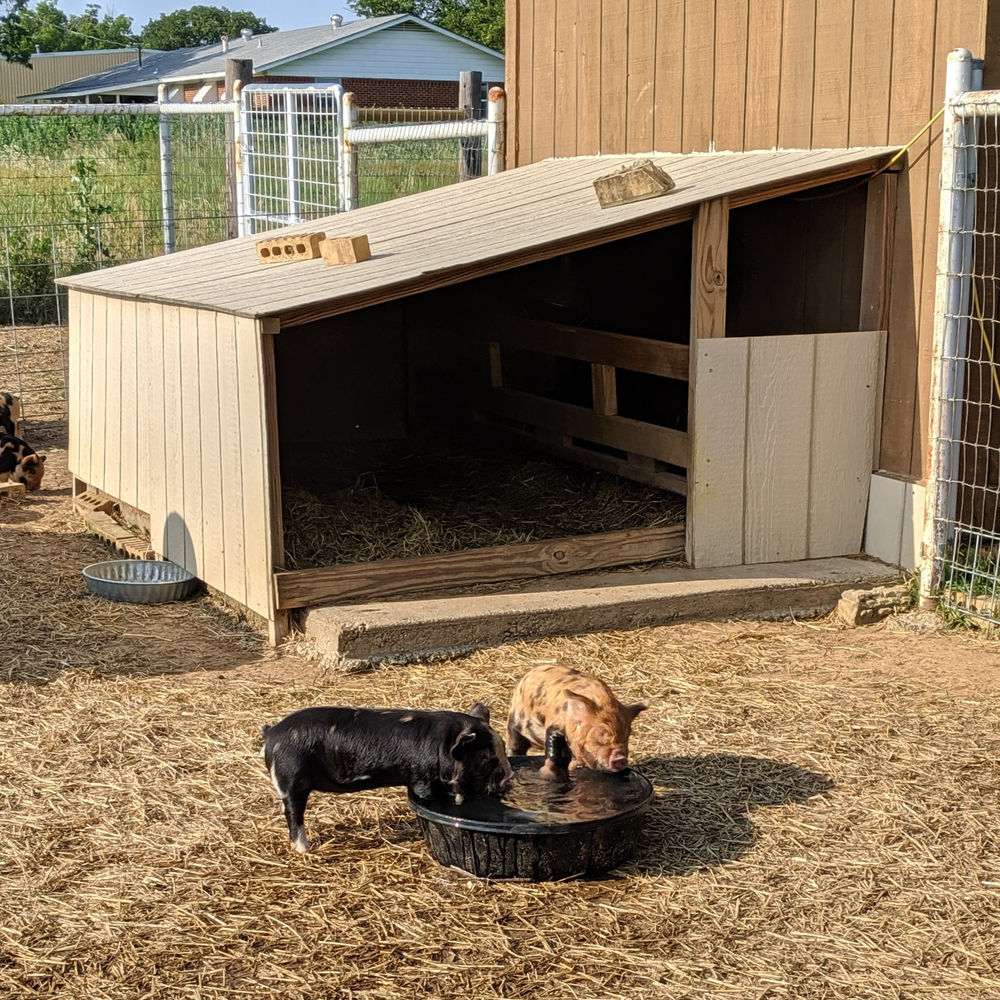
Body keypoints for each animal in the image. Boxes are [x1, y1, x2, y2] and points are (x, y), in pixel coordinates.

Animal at [260, 703, 513, 853]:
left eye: (502, 745)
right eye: (484, 757)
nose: (509, 776)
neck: (443, 745)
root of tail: (271, 733)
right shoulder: (420, 778)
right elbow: (427, 799)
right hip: (291, 779)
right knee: (293, 814)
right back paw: (306, 849)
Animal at [507, 665, 649, 774]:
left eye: (626, 736)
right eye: (601, 735)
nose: (621, 758)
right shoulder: (555, 725)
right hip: (515, 723)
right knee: (516, 745)